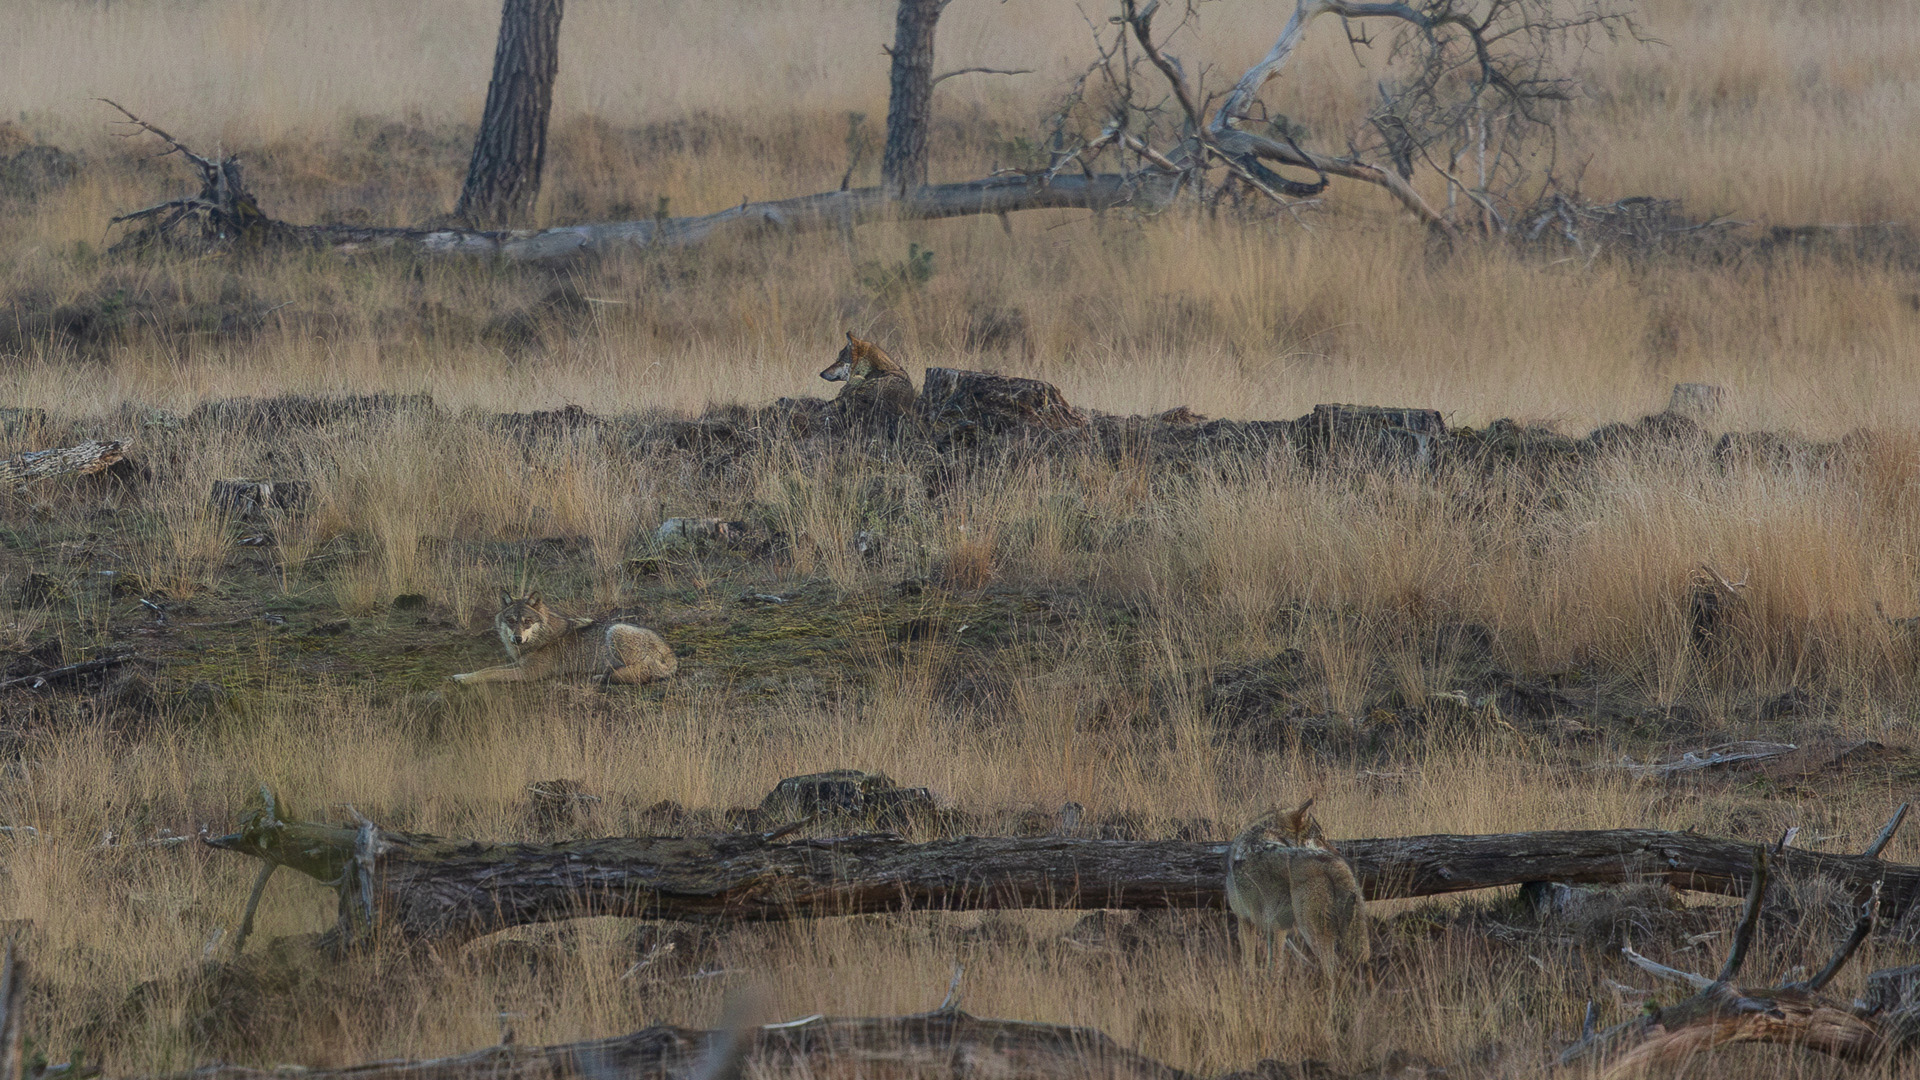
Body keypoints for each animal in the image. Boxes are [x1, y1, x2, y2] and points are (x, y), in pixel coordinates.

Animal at [451, 592, 677, 686]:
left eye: (527, 621)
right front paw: (462, 675)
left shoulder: (527, 673)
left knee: (641, 673)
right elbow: (487, 669)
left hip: (614, 630)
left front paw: (465, 680)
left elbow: (491, 674)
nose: (517, 638)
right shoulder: (519, 665)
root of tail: (671, 654)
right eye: (511, 620)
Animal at [1225, 800, 1371, 972]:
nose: (1341, 855)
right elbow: (1265, 964)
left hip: (1310, 931)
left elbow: (1260, 966)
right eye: (1320, 838)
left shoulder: (1254, 921)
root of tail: (1333, 862)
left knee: (1333, 965)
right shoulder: (1266, 924)